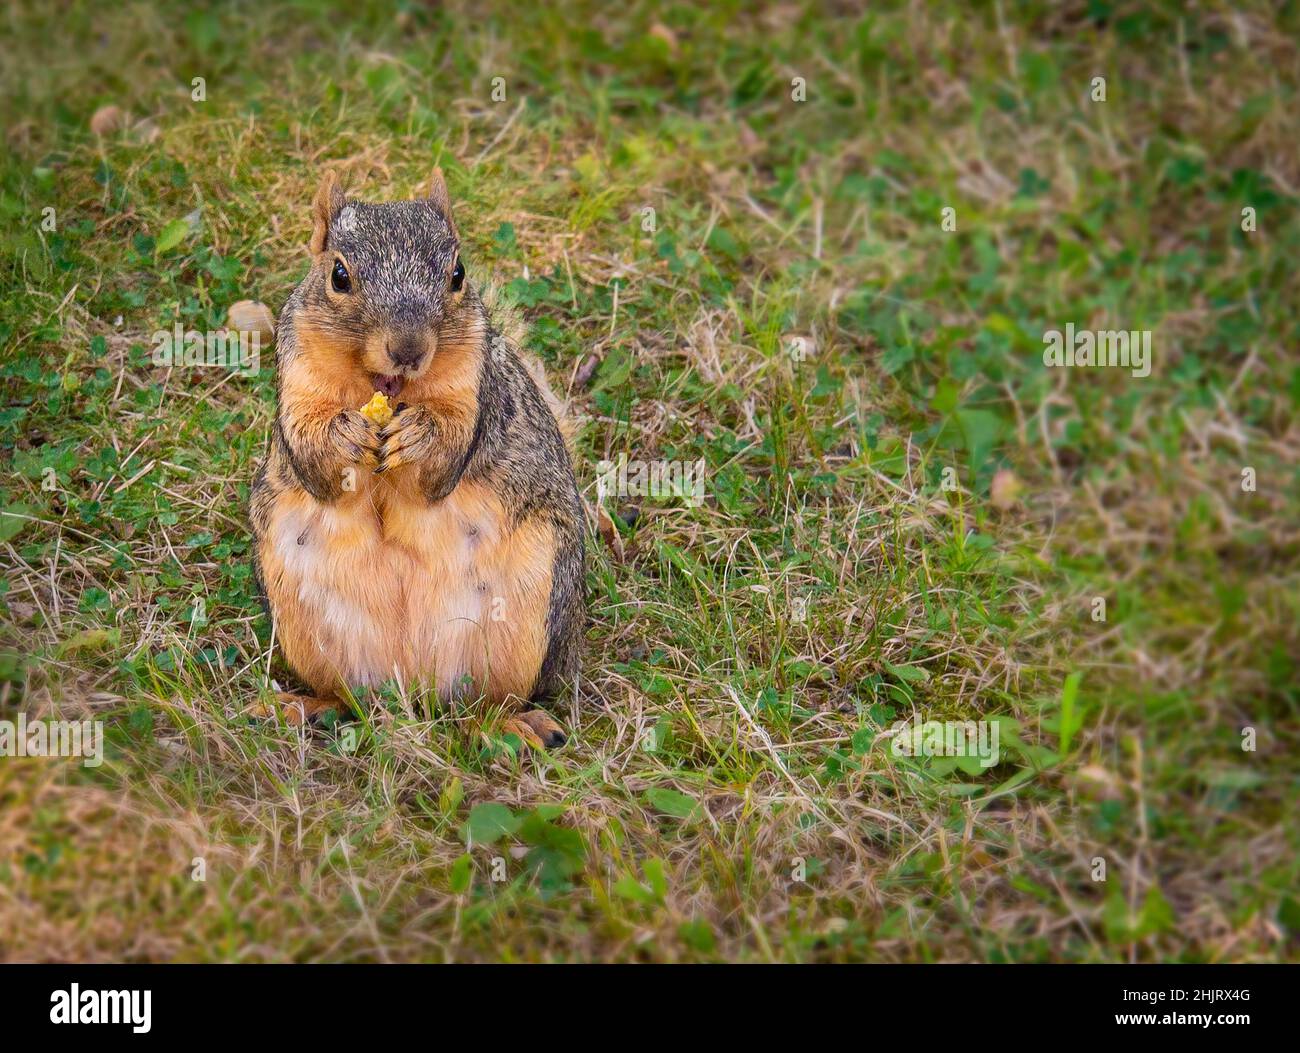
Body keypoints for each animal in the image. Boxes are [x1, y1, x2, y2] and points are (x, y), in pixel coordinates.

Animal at [249, 168, 585, 748]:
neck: (383, 388)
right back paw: (302, 708)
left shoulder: (474, 388)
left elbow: (447, 452)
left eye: (458, 274)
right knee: (344, 699)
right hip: (300, 622)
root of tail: (411, 680)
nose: (408, 350)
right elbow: (313, 453)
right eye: (338, 275)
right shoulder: (298, 378)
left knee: (484, 706)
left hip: (532, 617)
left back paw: (512, 727)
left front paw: (419, 435)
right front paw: (346, 435)